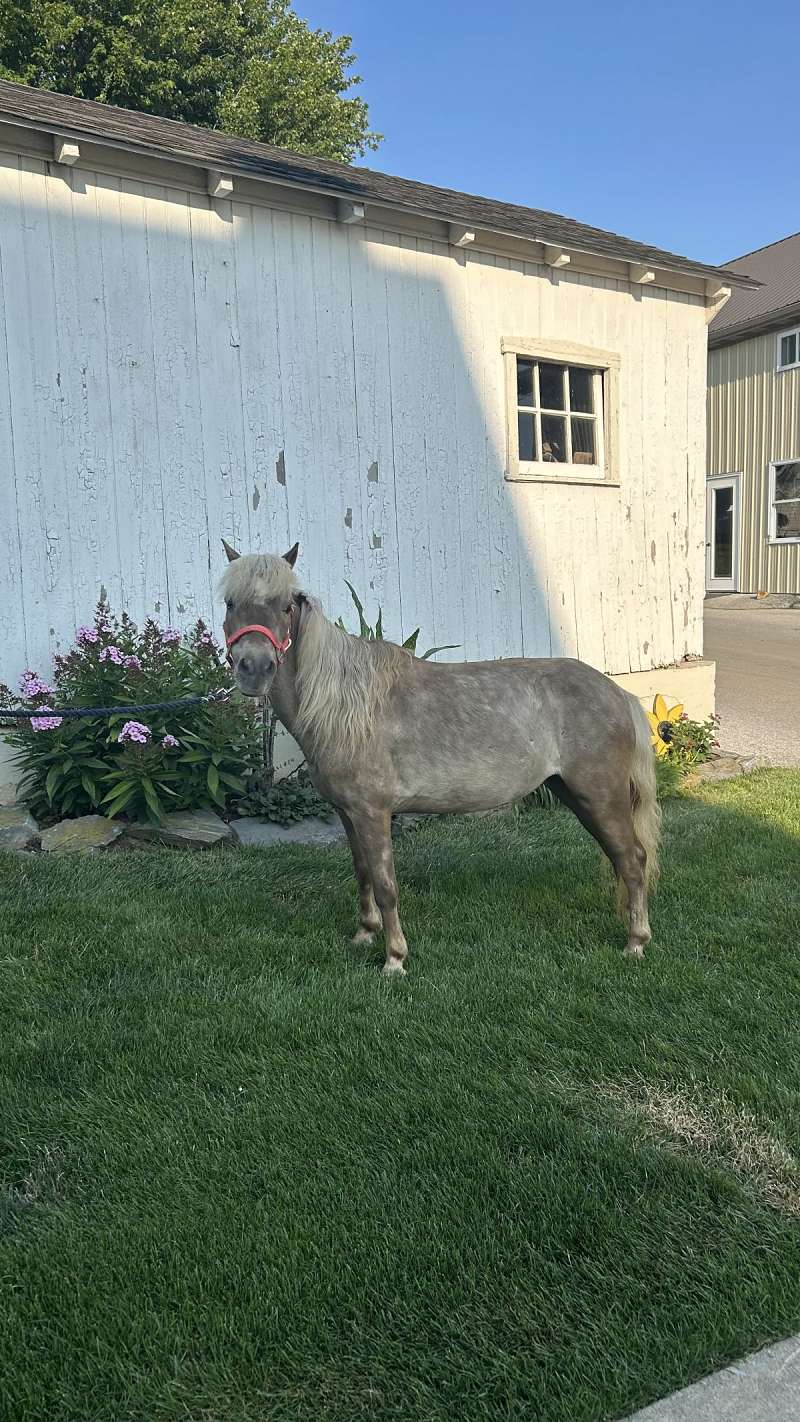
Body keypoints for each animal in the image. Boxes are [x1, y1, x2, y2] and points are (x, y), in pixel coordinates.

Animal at [220, 541, 660, 975]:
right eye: (230, 602)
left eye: (286, 606)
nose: (254, 668)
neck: (346, 705)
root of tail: (617, 692)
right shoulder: (347, 813)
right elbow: (363, 873)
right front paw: (364, 936)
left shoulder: (372, 812)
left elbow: (385, 884)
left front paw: (395, 959)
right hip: (575, 795)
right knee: (621, 857)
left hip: (600, 796)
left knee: (632, 859)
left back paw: (636, 942)